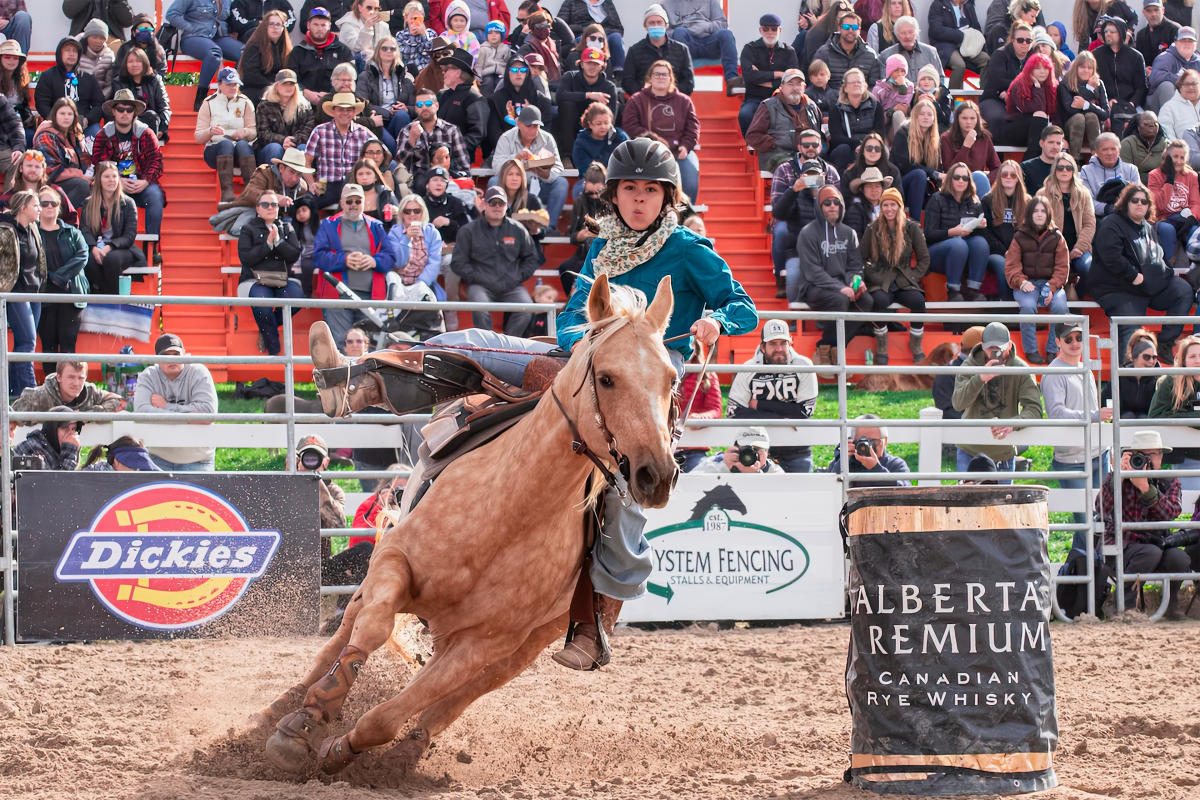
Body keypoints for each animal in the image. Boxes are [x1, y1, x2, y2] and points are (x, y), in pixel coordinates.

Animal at [257, 274, 680, 776]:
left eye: (672, 379)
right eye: (607, 378)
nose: (656, 475)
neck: (508, 512)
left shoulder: (486, 642)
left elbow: (397, 712)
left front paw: (342, 748)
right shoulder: (394, 563)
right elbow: (372, 630)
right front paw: (304, 723)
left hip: (525, 645)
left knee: (457, 698)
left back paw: (406, 755)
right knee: (341, 636)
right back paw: (281, 710)